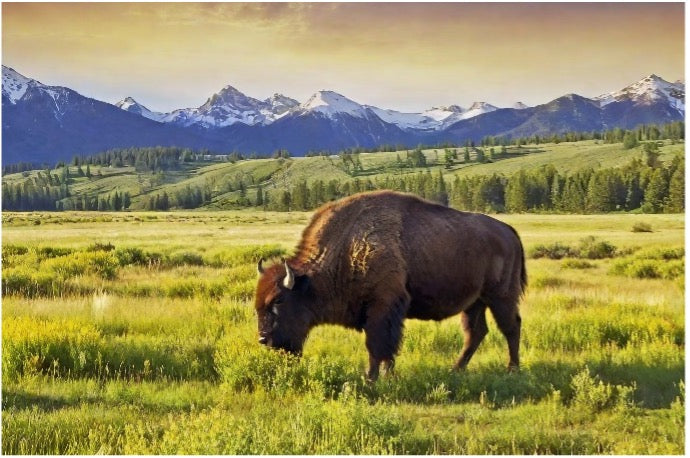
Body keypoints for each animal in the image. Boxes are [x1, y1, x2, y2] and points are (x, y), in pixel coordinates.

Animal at [255, 190, 526, 381]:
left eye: (279, 300)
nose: (263, 339)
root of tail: (509, 231)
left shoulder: (382, 306)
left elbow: (378, 345)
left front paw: (371, 378)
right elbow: (387, 347)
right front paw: (387, 375)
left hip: (500, 296)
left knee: (511, 327)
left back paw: (512, 369)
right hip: (474, 302)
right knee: (476, 332)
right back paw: (456, 369)